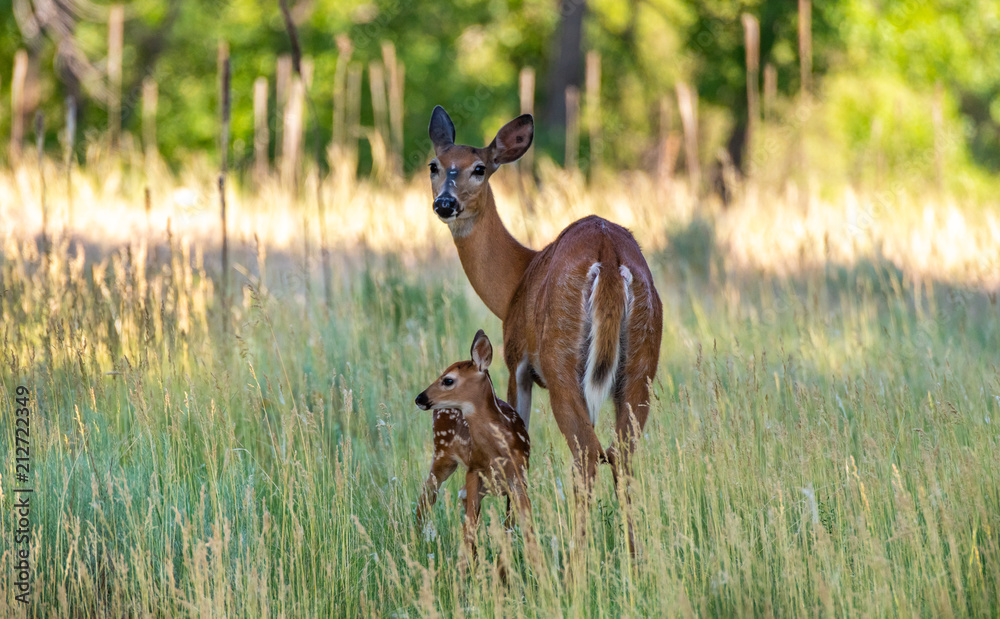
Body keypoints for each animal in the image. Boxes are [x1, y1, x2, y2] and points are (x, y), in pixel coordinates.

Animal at [414, 329, 535, 566]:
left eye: (448, 380)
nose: (419, 398)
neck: (497, 451)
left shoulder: (519, 475)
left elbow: (524, 524)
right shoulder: (473, 469)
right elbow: (469, 525)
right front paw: (467, 567)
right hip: (442, 454)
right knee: (427, 497)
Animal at [427, 105, 663, 551]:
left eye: (479, 168)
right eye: (434, 164)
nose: (445, 203)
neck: (516, 281)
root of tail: (610, 256)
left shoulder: (516, 362)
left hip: (561, 362)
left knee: (587, 455)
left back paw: (577, 558)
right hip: (640, 367)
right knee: (623, 456)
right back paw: (634, 556)